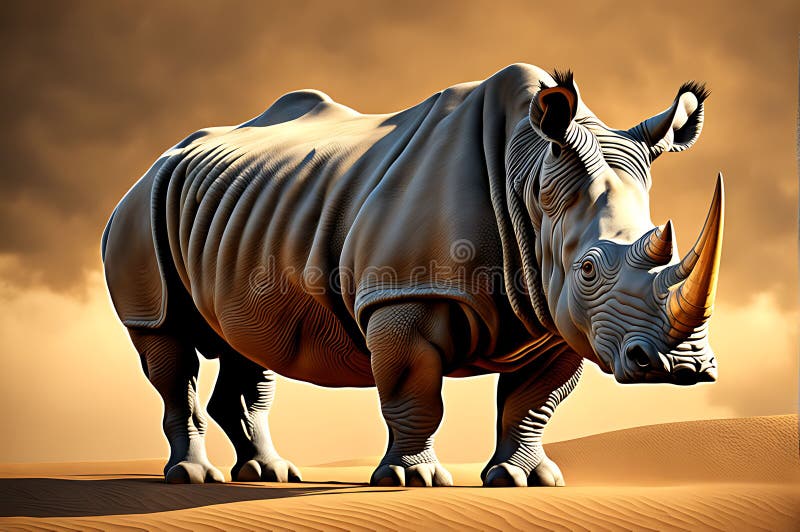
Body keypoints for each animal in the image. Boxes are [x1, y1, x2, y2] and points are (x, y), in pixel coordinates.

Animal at [102, 63, 723, 487]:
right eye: (590, 268)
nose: (681, 368)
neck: (529, 180)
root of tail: (161, 158)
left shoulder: (556, 318)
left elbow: (533, 403)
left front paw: (524, 480)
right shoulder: (402, 294)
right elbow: (414, 390)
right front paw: (412, 479)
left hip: (240, 221)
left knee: (247, 348)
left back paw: (271, 473)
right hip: (139, 212)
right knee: (167, 345)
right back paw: (195, 476)